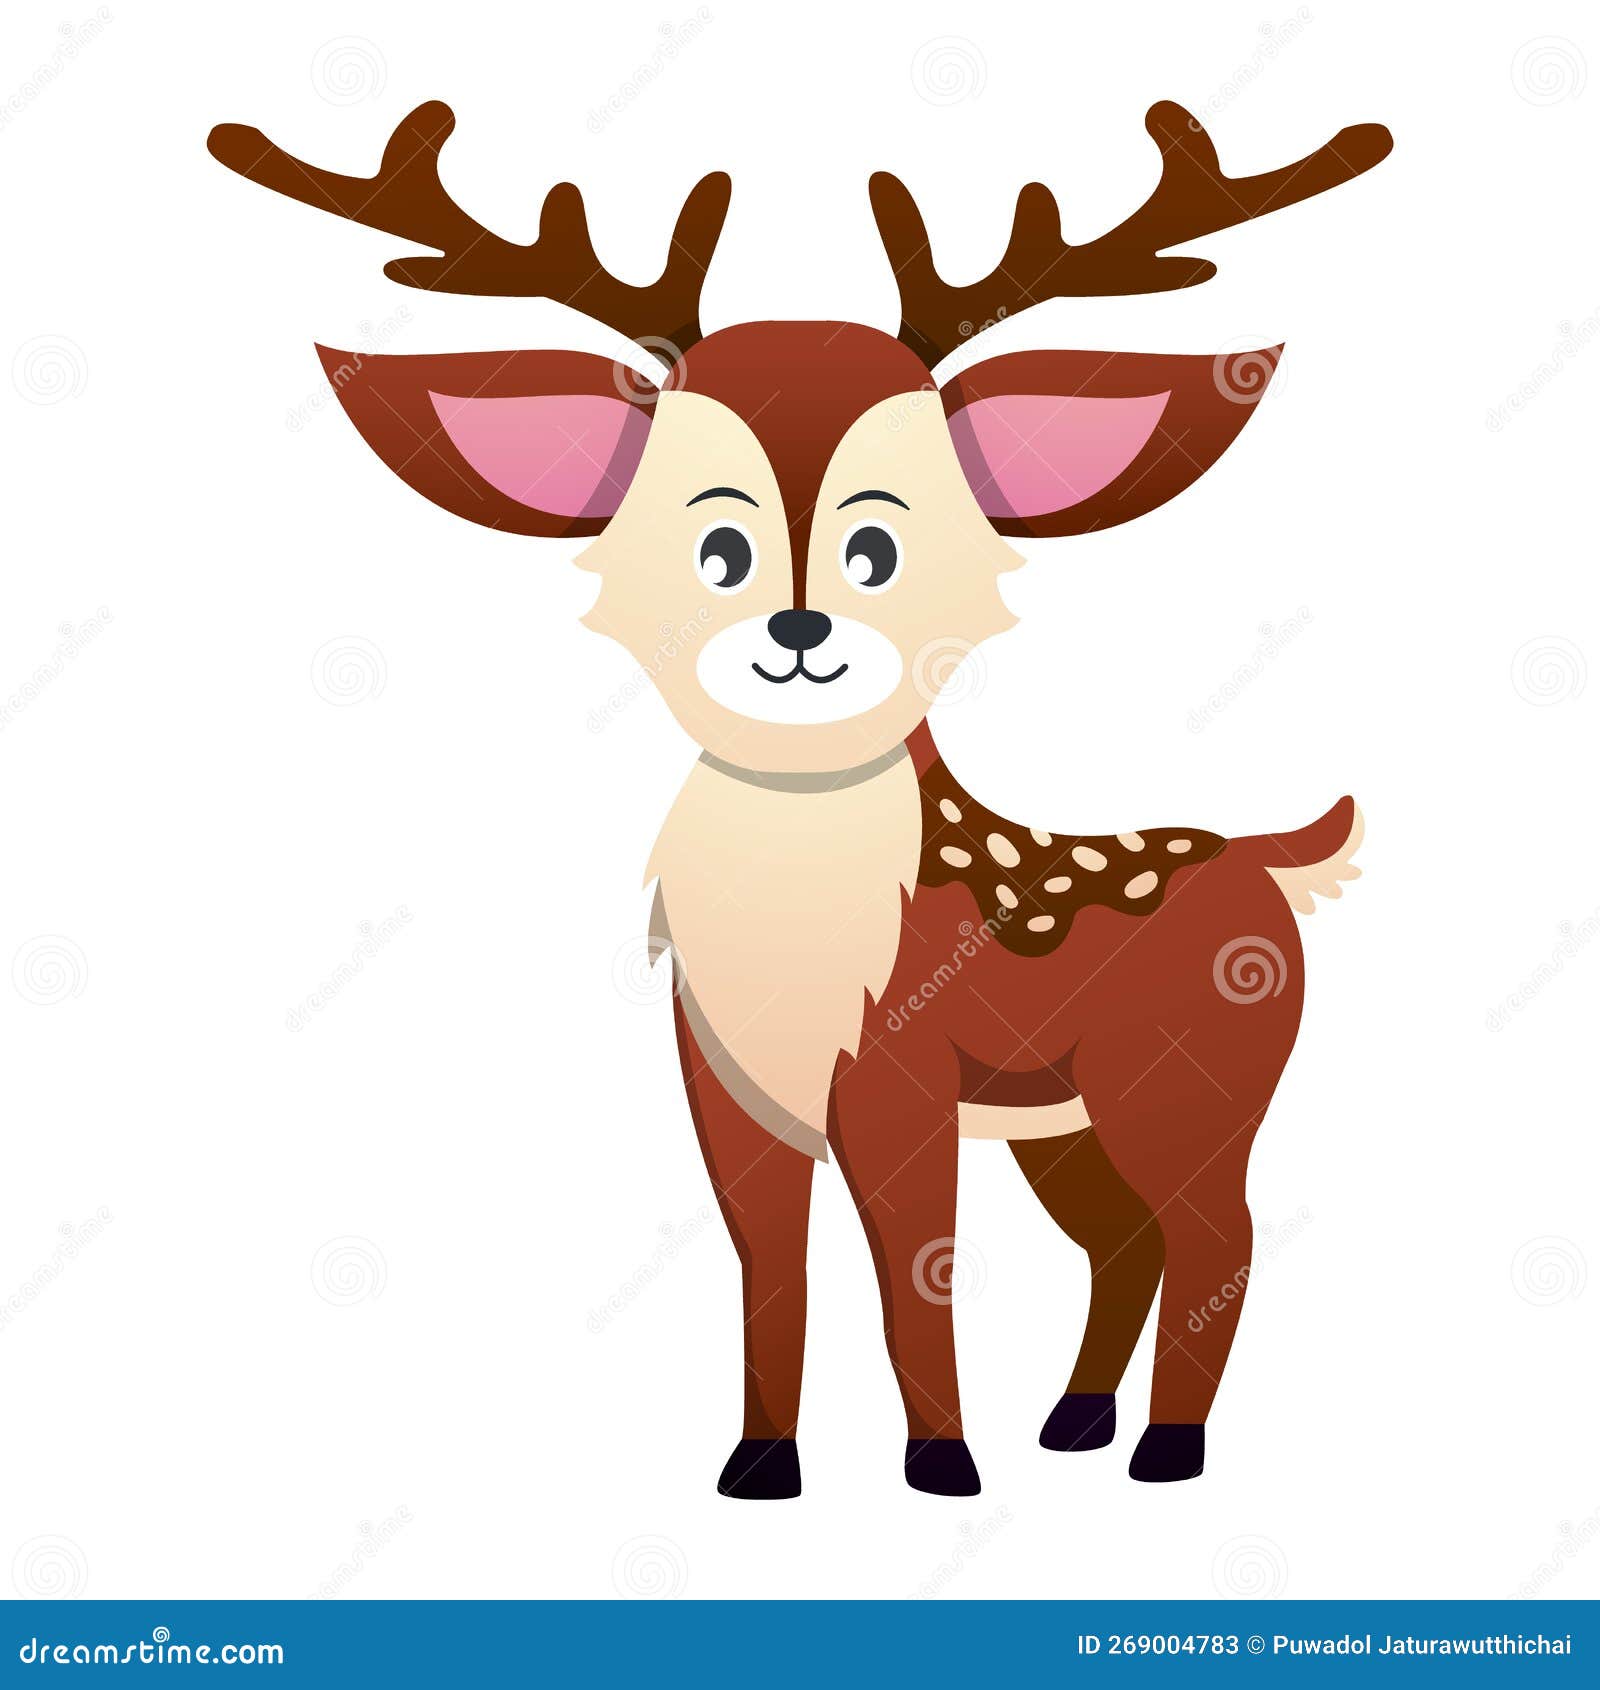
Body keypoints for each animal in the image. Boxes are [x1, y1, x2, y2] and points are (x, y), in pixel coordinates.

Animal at [209, 97, 1390, 1498]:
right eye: (710, 544)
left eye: (882, 544)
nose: (797, 625)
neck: (799, 935)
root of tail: (1273, 856)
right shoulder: (723, 1086)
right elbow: (769, 1270)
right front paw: (760, 1463)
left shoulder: (900, 1074)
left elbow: (914, 1275)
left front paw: (942, 1462)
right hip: (1067, 1121)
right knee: (1127, 1242)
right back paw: (1075, 1421)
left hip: (1190, 1087)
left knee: (1222, 1233)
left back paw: (1165, 1447)